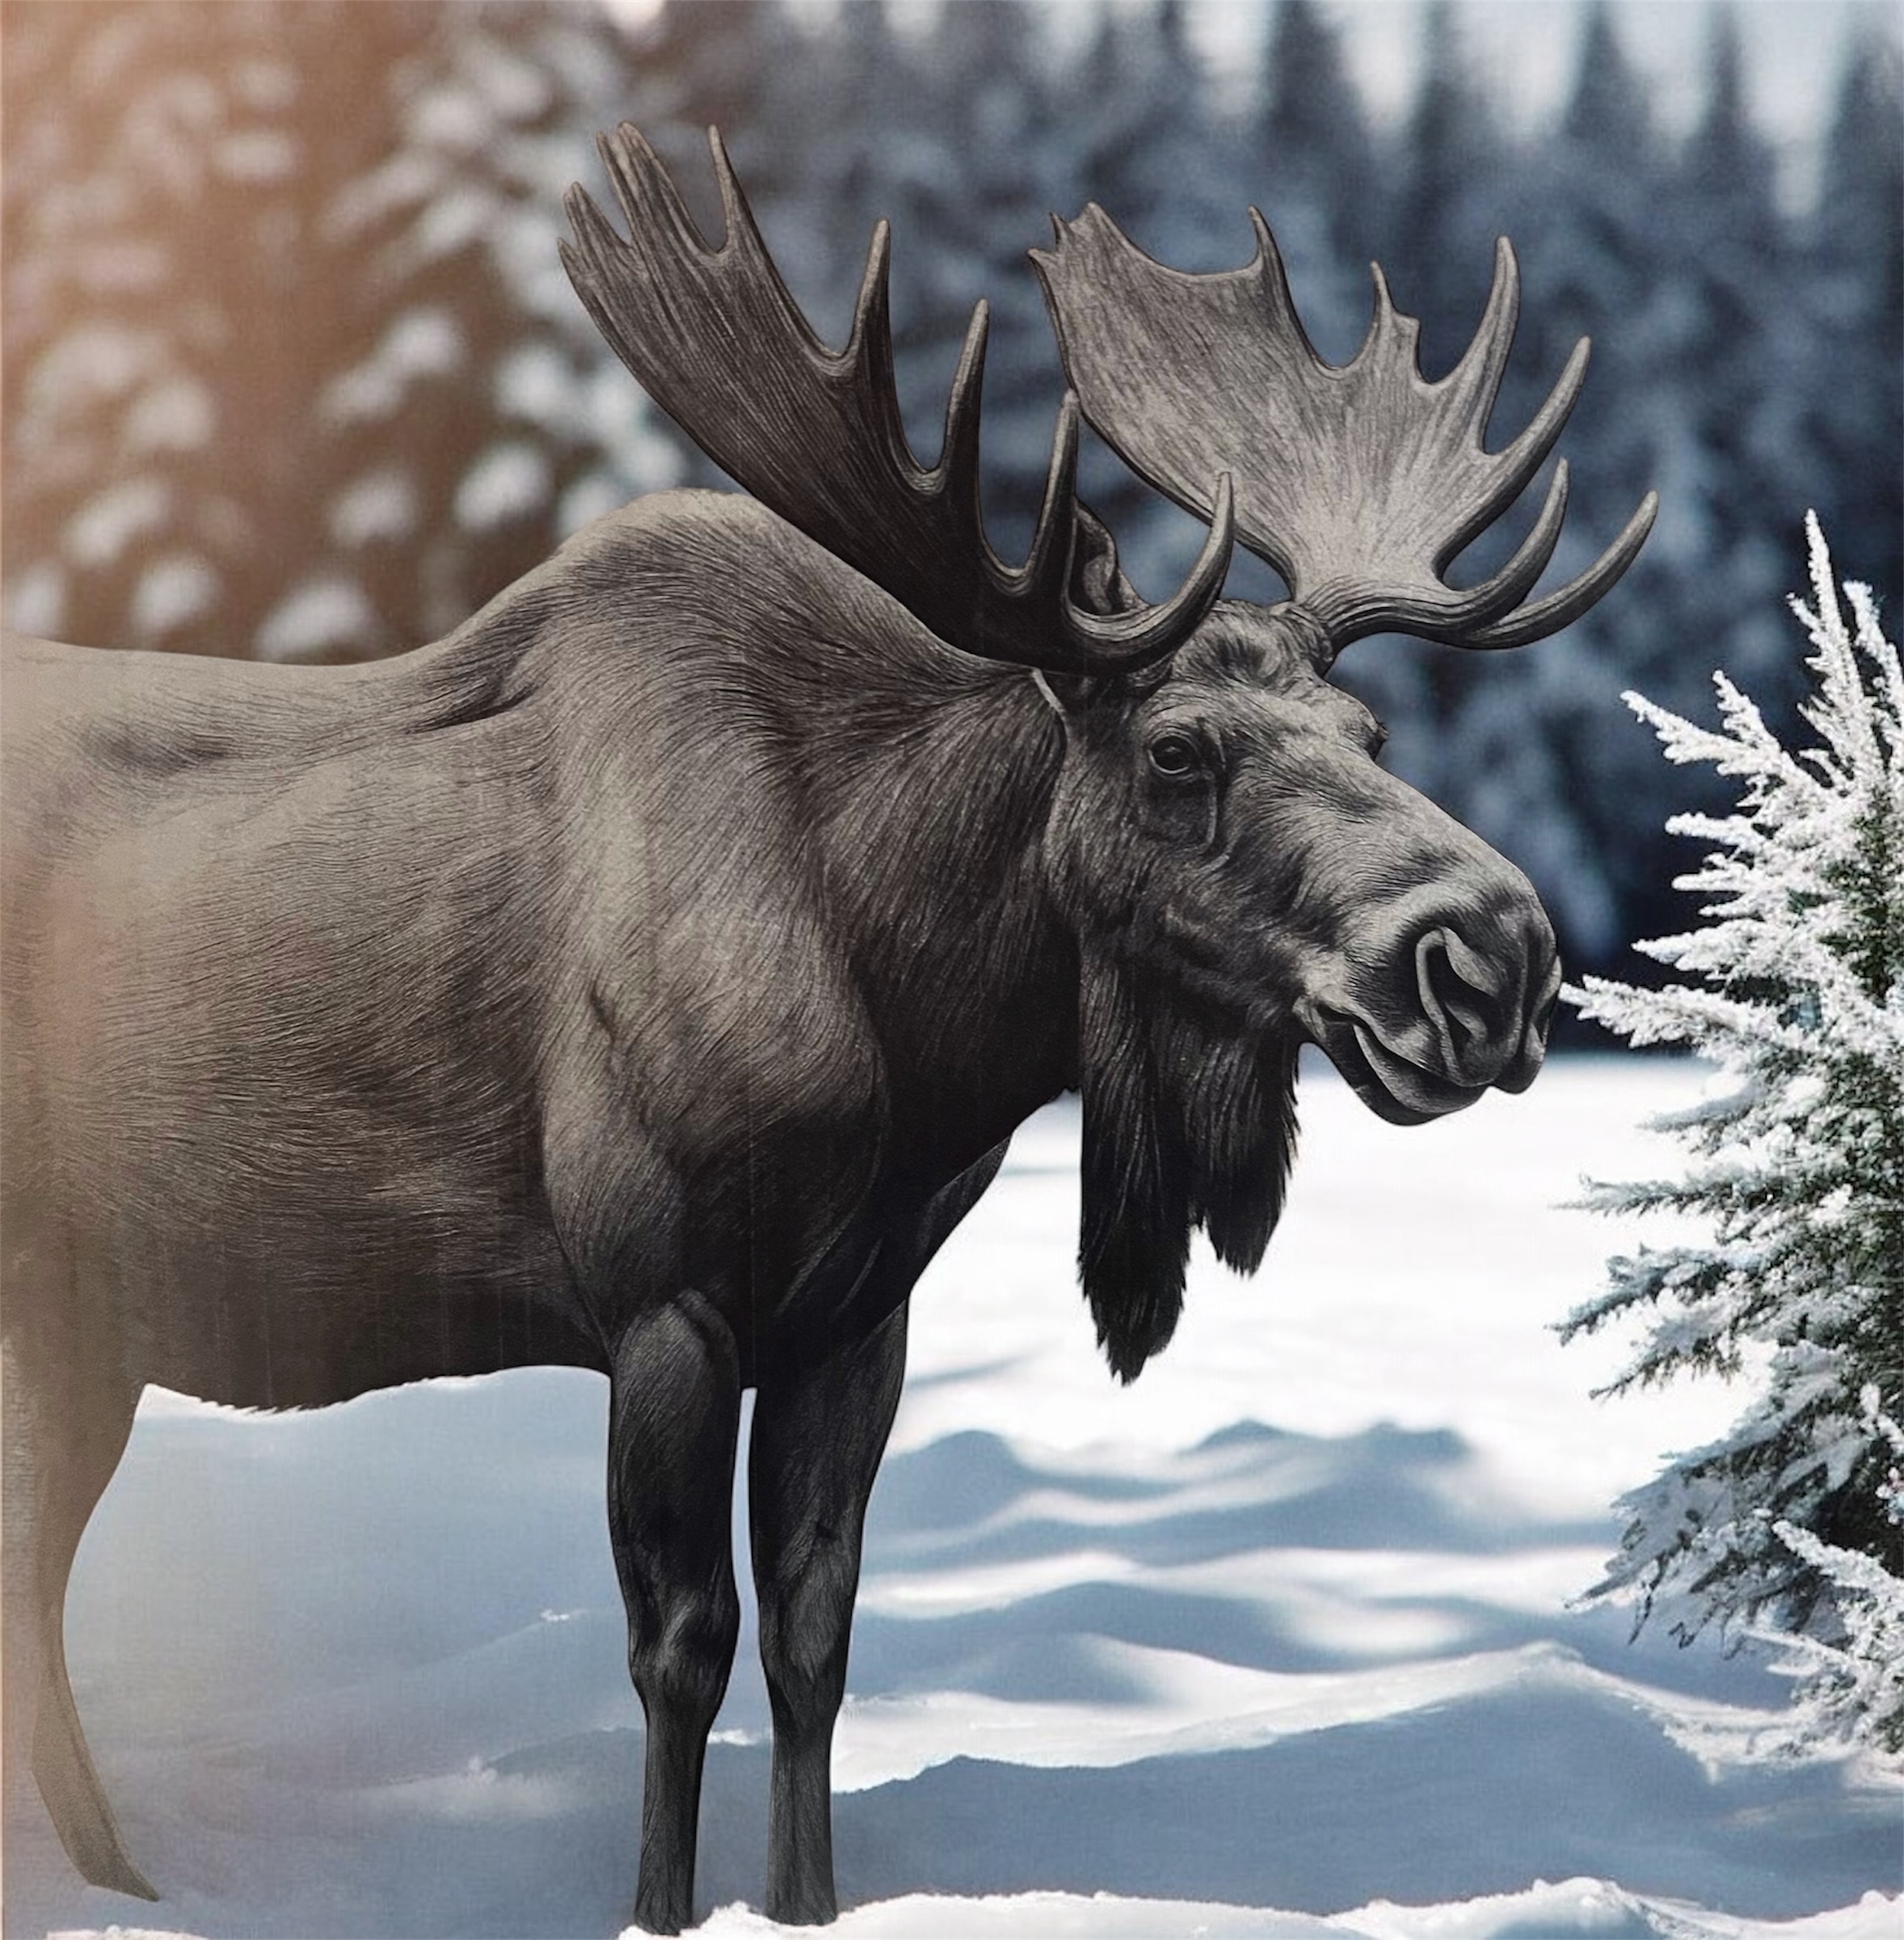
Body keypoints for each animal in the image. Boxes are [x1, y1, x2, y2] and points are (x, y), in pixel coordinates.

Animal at [1, 125, 1654, 1932]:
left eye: (1368, 731)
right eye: (1175, 752)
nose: (1490, 953)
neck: (911, 1022)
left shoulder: (853, 1317)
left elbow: (813, 1640)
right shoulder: (660, 1296)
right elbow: (681, 1648)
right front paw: (660, 1902)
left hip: (86, 1332)